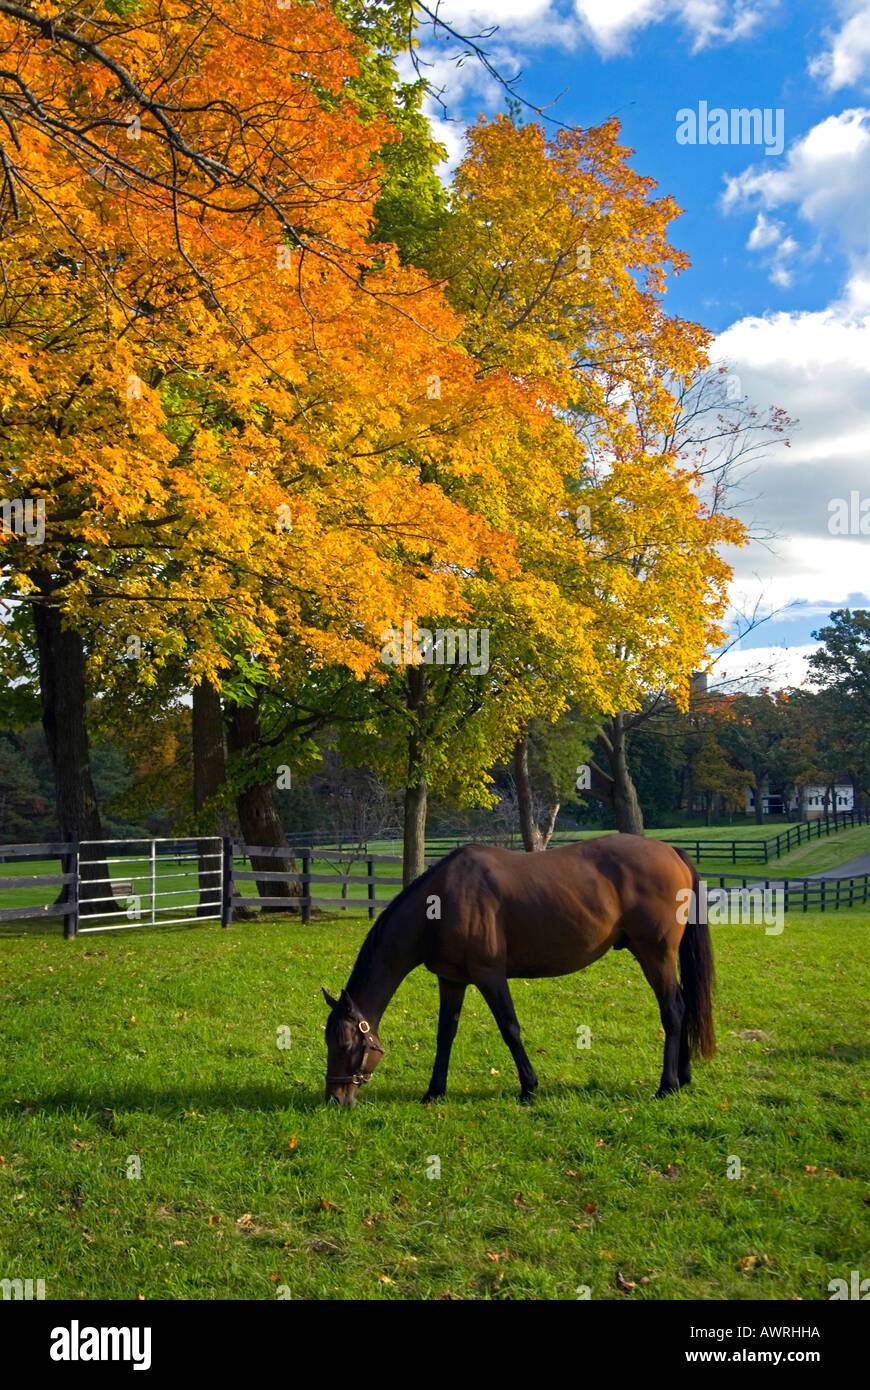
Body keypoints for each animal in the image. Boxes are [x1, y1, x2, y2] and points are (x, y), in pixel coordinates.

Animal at [322, 834, 715, 1107]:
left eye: (346, 1043)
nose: (335, 1099)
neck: (442, 901)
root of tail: (671, 852)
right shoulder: (452, 980)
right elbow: (445, 1034)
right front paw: (434, 1092)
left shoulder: (490, 976)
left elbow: (509, 1028)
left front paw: (529, 1088)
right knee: (682, 1006)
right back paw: (683, 1077)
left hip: (655, 955)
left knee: (673, 1010)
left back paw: (666, 1085)